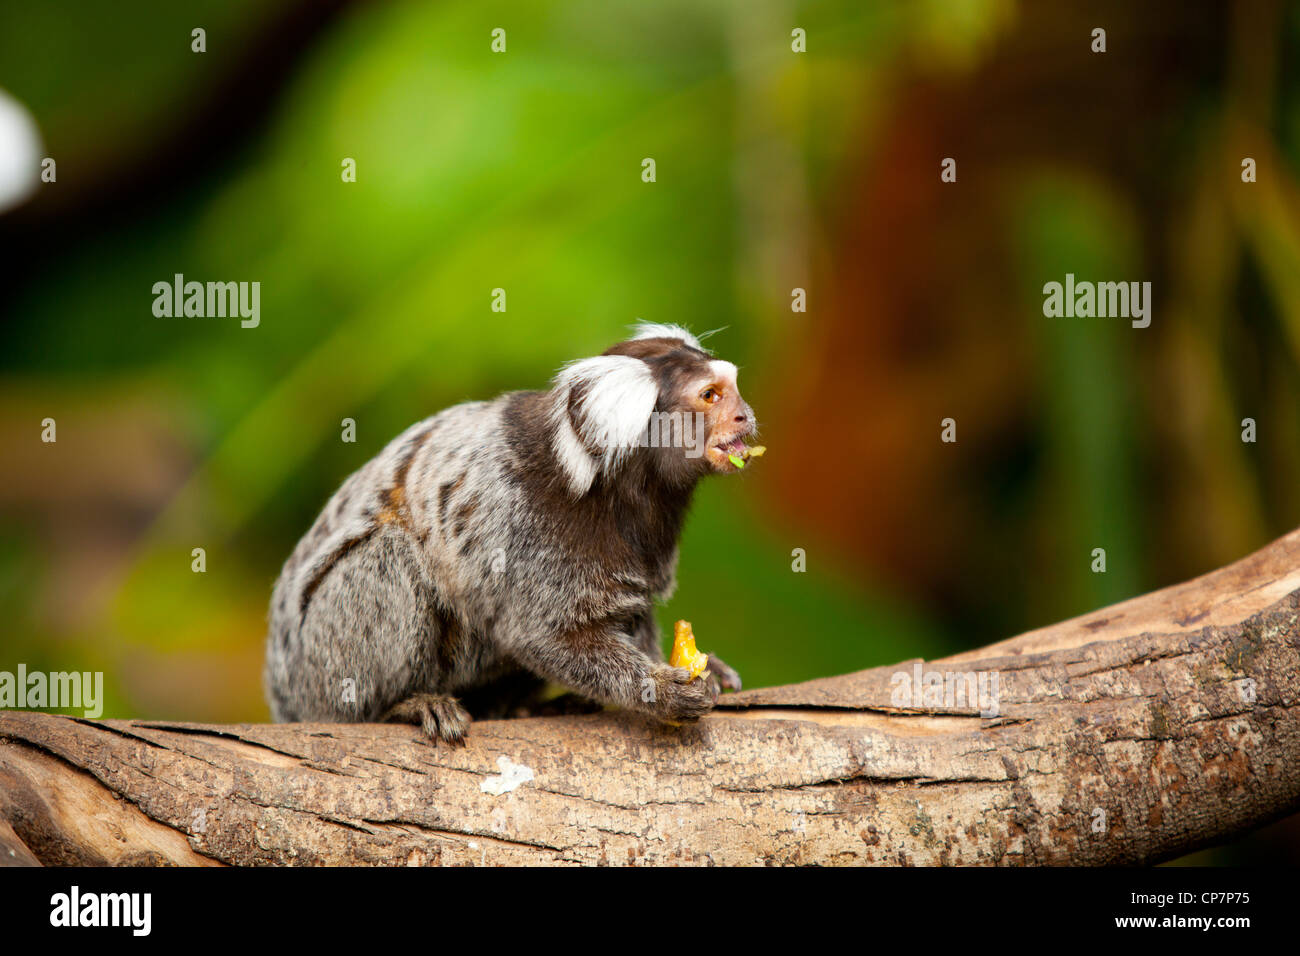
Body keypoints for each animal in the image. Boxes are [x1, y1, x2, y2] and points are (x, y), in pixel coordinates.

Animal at [263, 323, 756, 744]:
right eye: (710, 396)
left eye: (733, 390)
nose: (745, 416)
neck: (617, 483)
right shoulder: (521, 522)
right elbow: (546, 635)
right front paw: (659, 689)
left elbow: (630, 616)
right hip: (320, 667)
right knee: (388, 553)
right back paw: (403, 707)